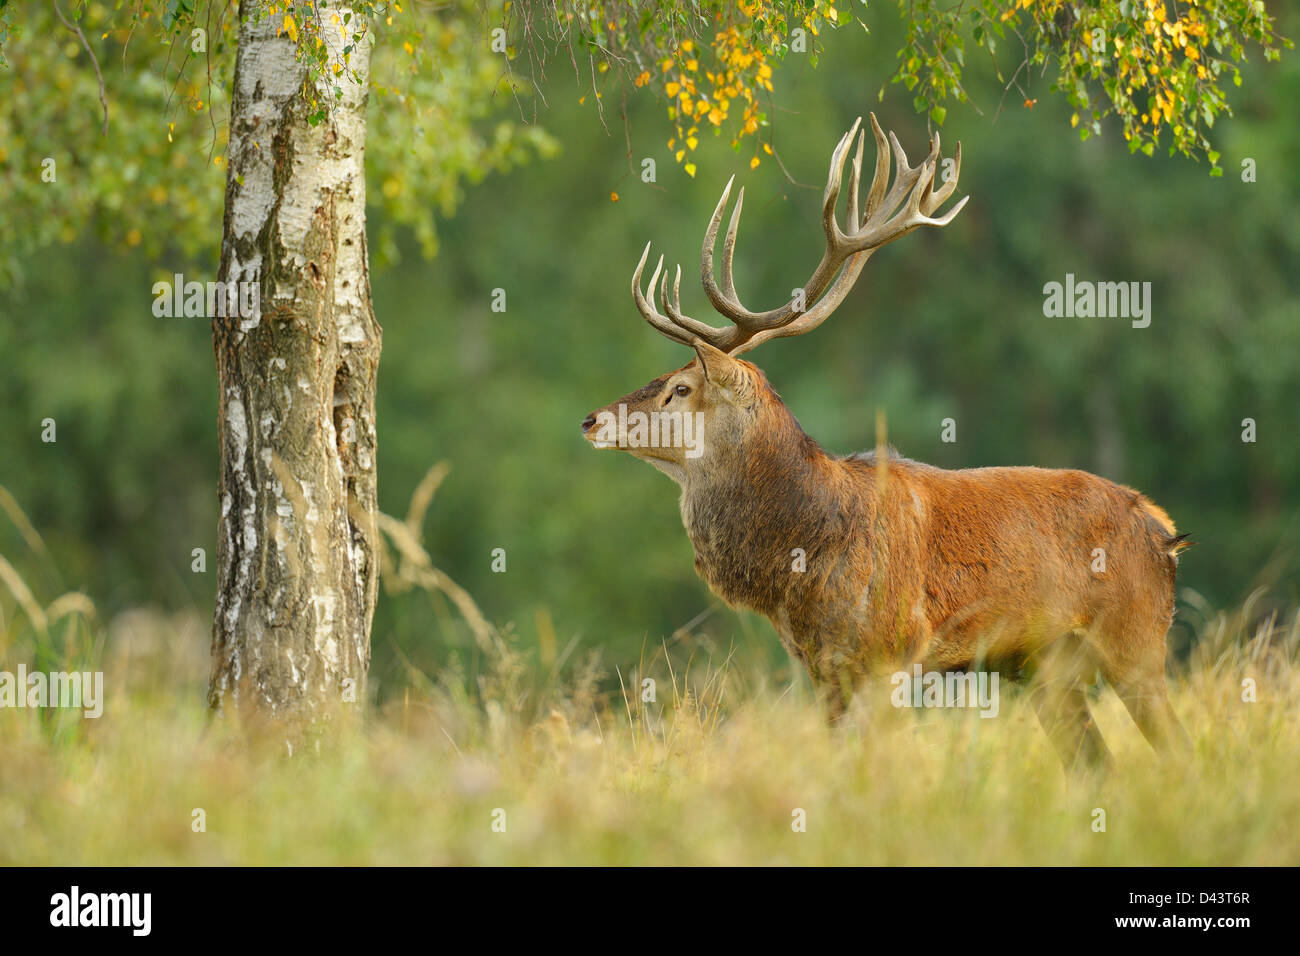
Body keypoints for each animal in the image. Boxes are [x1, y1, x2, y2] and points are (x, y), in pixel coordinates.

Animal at [581, 113, 1193, 772]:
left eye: (679, 387)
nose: (591, 420)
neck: (803, 558)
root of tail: (1164, 530)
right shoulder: (823, 669)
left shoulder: (893, 654)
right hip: (1047, 667)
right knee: (1095, 764)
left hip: (1136, 642)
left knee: (1175, 748)